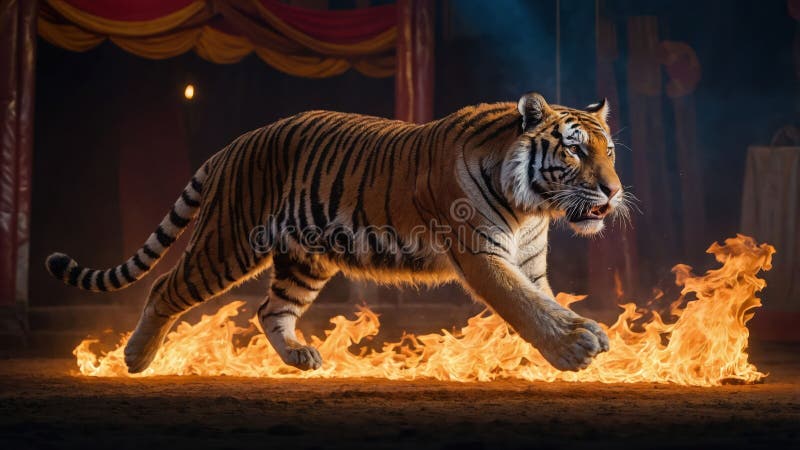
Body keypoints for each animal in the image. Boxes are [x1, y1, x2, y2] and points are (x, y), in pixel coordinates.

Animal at [46, 92, 629, 374]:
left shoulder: (527, 260)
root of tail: (234, 144)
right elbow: (525, 306)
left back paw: (298, 357)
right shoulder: (483, 256)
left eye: (610, 152)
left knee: (271, 309)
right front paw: (576, 348)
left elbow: (544, 300)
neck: (532, 207)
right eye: (574, 150)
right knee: (165, 287)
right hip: (228, 242)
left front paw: (583, 336)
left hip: (305, 259)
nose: (614, 191)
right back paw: (135, 358)